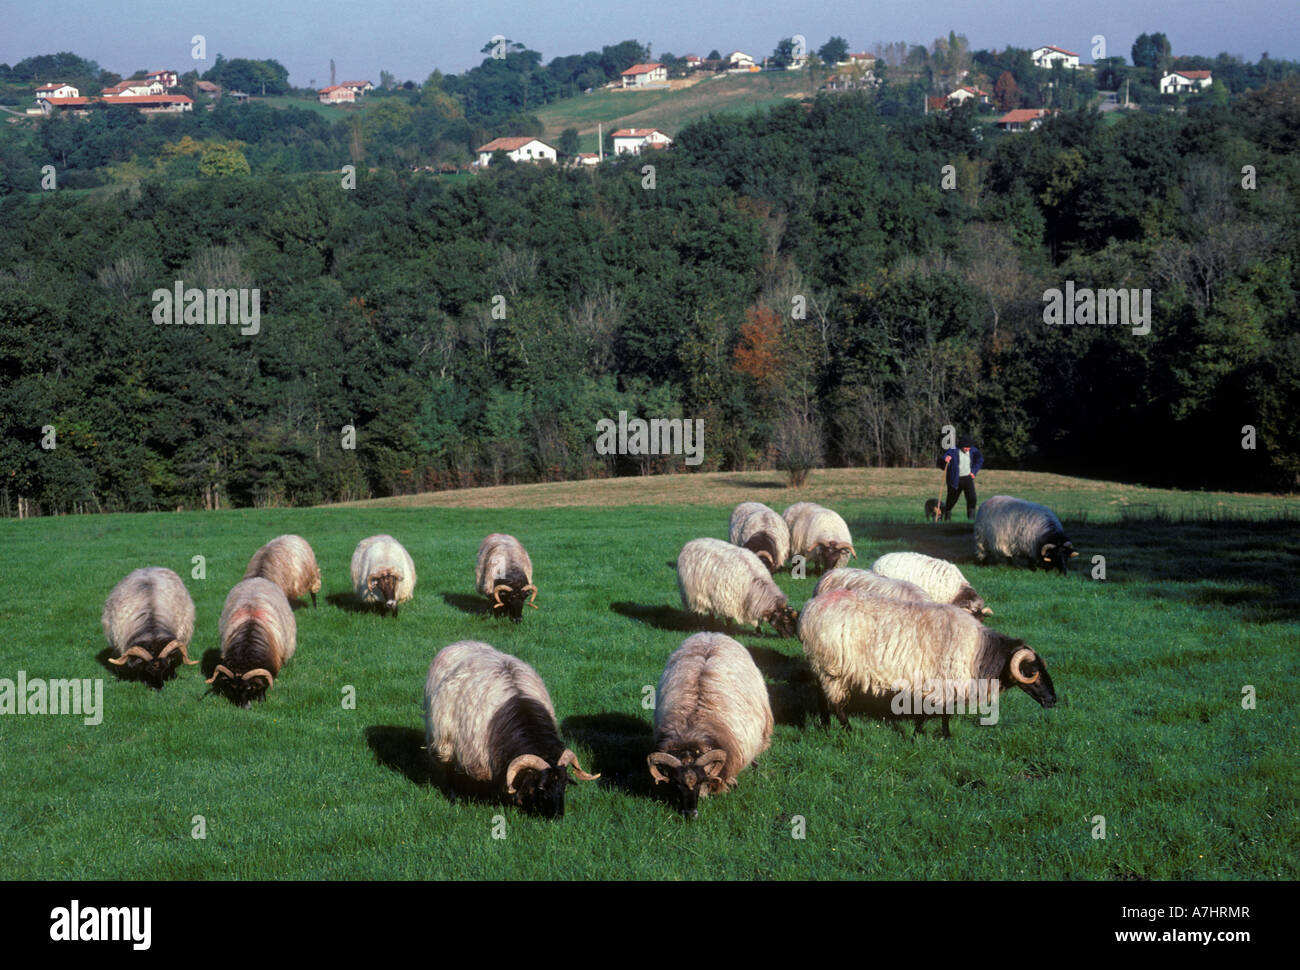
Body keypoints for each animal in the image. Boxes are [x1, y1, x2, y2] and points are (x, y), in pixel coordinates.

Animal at [206, 577, 297, 709]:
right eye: (233, 687)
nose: (244, 707)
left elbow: (263, 686)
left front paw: (262, 700)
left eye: (249, 688)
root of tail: (257, 578)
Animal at [423, 641, 598, 818]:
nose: (556, 817)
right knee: (449, 768)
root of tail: (458, 643)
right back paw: (453, 798)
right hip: (445, 741)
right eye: (541, 787)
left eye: (564, 785)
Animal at [797, 589, 1056, 736]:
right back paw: (848, 730)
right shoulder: (943, 682)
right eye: (1032, 671)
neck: (980, 653)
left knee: (821, 697)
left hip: (823, 666)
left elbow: (934, 711)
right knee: (836, 702)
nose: (1054, 700)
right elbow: (940, 712)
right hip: (833, 667)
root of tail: (809, 610)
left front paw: (927, 734)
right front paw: (933, 735)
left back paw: (826, 725)